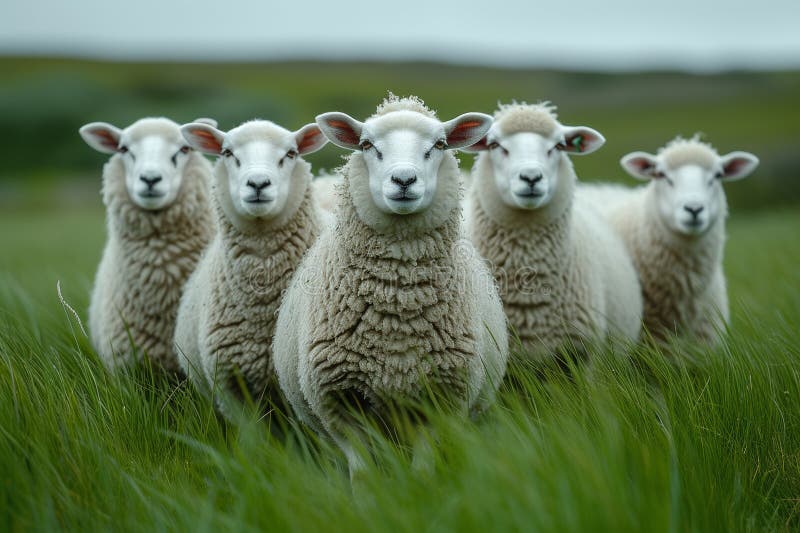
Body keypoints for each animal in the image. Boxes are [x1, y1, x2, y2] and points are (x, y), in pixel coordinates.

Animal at [272, 95, 509, 477]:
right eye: (367, 145)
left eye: (439, 145)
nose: (404, 179)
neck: (395, 307)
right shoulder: (337, 400)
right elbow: (364, 471)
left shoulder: (444, 396)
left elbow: (424, 467)